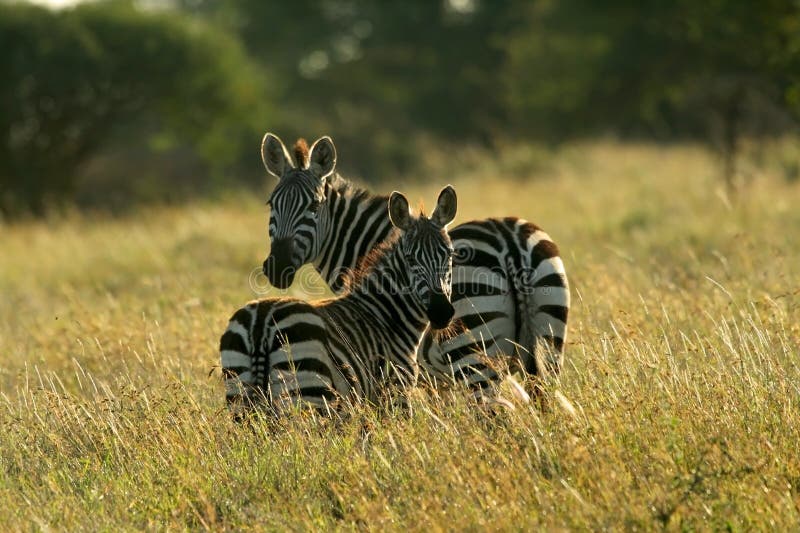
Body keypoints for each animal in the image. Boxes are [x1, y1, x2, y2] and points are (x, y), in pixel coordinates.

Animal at [220, 185, 458, 415]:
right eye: (410, 259)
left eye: (450, 254)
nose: (441, 312)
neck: (386, 315)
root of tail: (260, 322)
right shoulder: (395, 391)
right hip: (307, 391)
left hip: (241, 397)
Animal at [260, 133, 570, 395]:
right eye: (271, 204)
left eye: (314, 206)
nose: (277, 267)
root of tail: (509, 241)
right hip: (548, 348)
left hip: (472, 353)